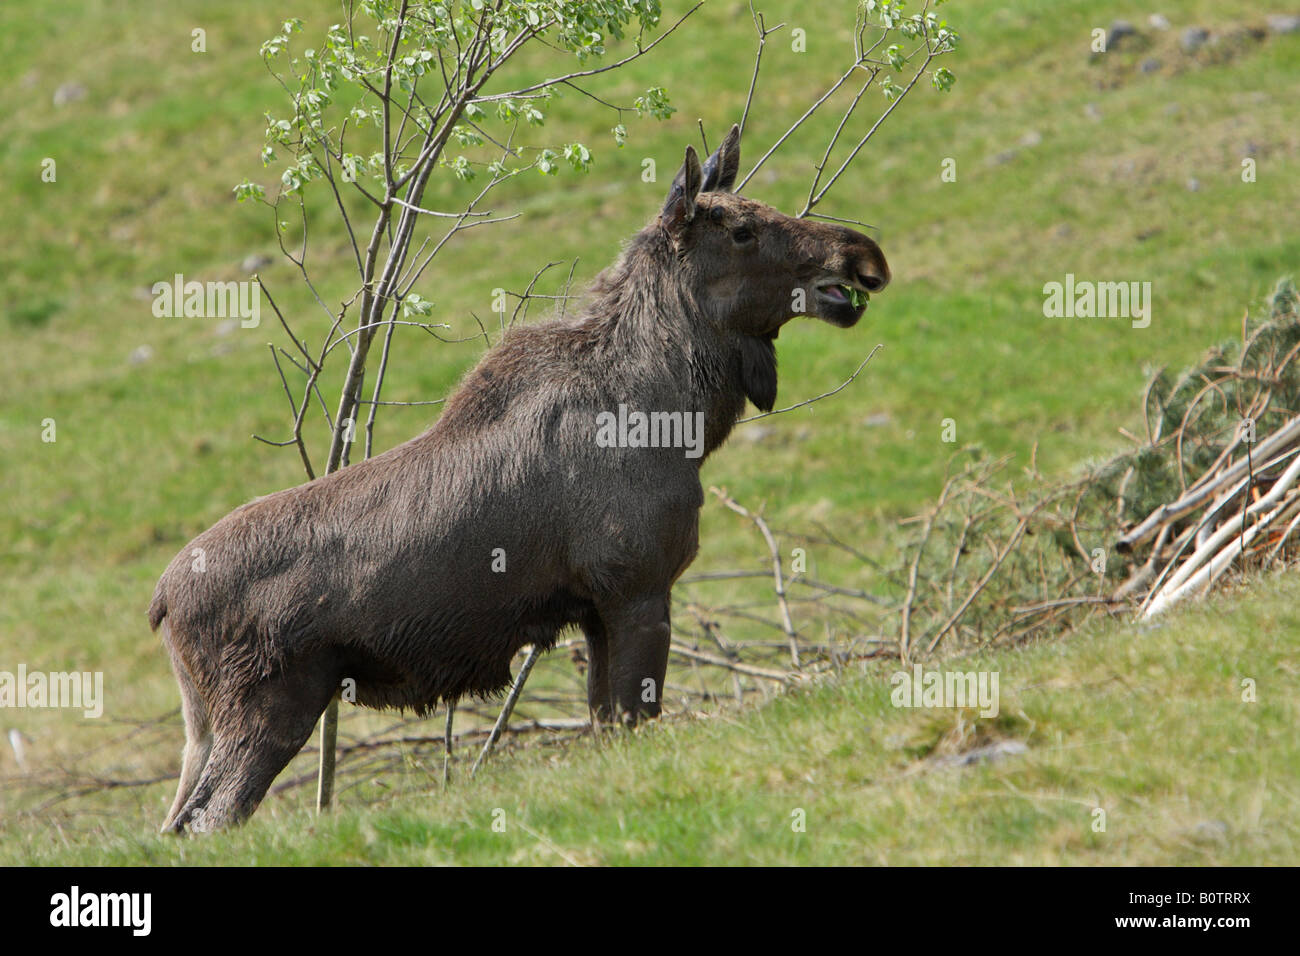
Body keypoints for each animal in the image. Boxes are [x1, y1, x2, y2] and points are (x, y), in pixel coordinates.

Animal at [149, 124, 890, 832]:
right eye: (741, 229)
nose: (864, 256)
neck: (678, 415)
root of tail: (159, 603)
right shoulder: (637, 586)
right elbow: (633, 723)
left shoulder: (594, 609)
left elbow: (607, 728)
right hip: (270, 701)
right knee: (208, 820)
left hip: (210, 722)